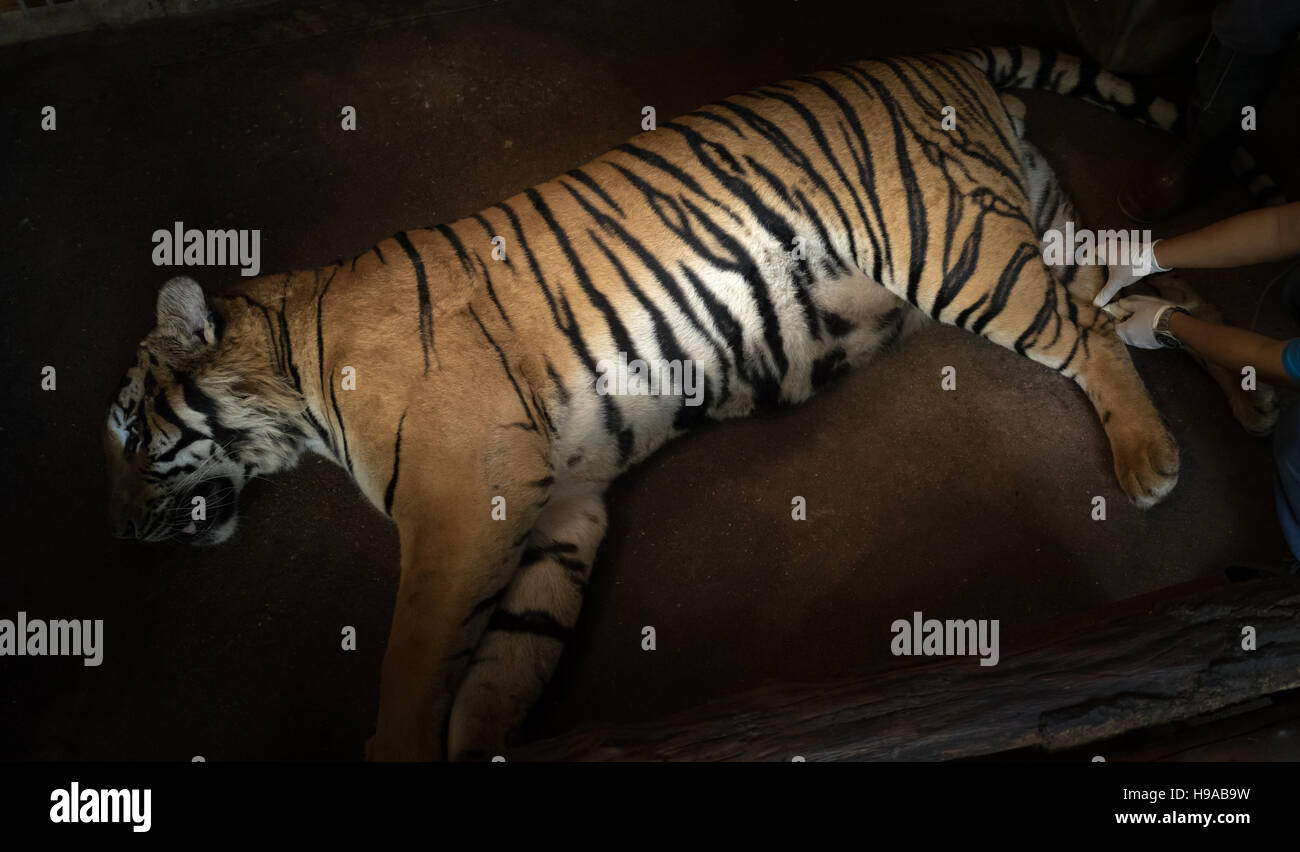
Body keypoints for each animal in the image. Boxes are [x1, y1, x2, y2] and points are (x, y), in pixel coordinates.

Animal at [105, 45, 1279, 761]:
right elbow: (505, 662)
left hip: (956, 252)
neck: (293, 375)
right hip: (1028, 228)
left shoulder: (463, 493)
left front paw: (398, 747)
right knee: (1155, 288)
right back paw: (1256, 398)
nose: (122, 536)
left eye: (125, 430)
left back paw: (1148, 461)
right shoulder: (560, 506)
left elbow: (410, 658)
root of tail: (944, 55)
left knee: (1090, 333)